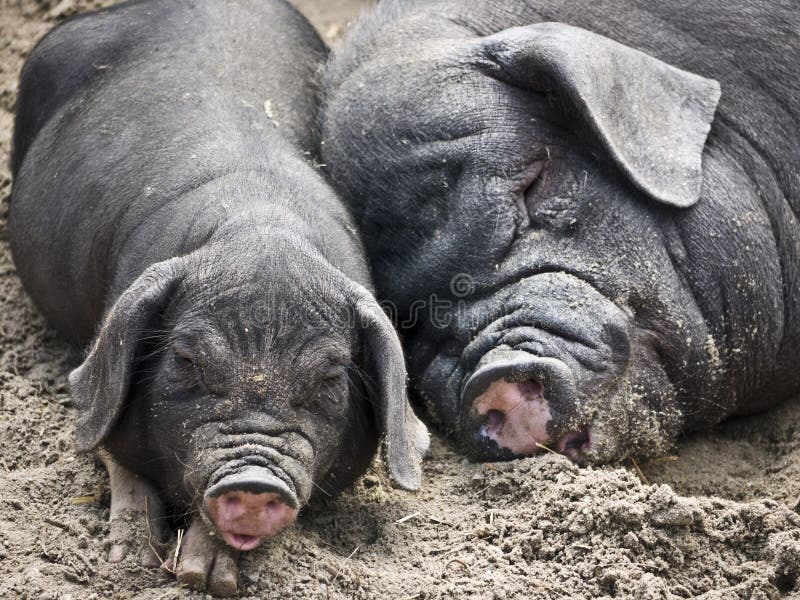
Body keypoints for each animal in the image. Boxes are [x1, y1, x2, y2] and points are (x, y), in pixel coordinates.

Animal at [9, 0, 428, 595]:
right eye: (186, 359)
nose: (255, 481)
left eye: (330, 377)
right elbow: (109, 444)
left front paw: (207, 577)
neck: (260, 226)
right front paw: (133, 560)